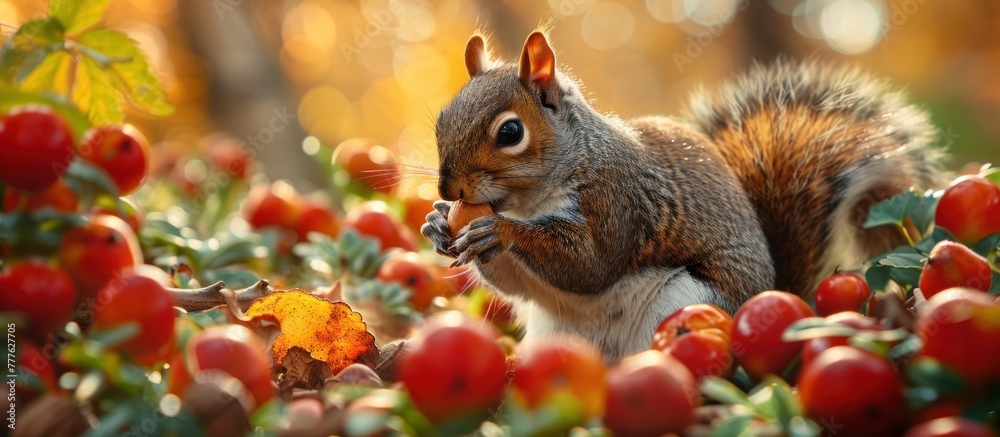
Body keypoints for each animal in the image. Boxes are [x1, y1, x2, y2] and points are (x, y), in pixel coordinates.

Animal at [420, 31, 945, 360]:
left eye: (510, 132)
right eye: (441, 118)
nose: (448, 189)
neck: (531, 200)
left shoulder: (619, 202)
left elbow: (589, 265)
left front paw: (499, 232)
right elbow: (519, 286)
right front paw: (438, 223)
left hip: (686, 301)